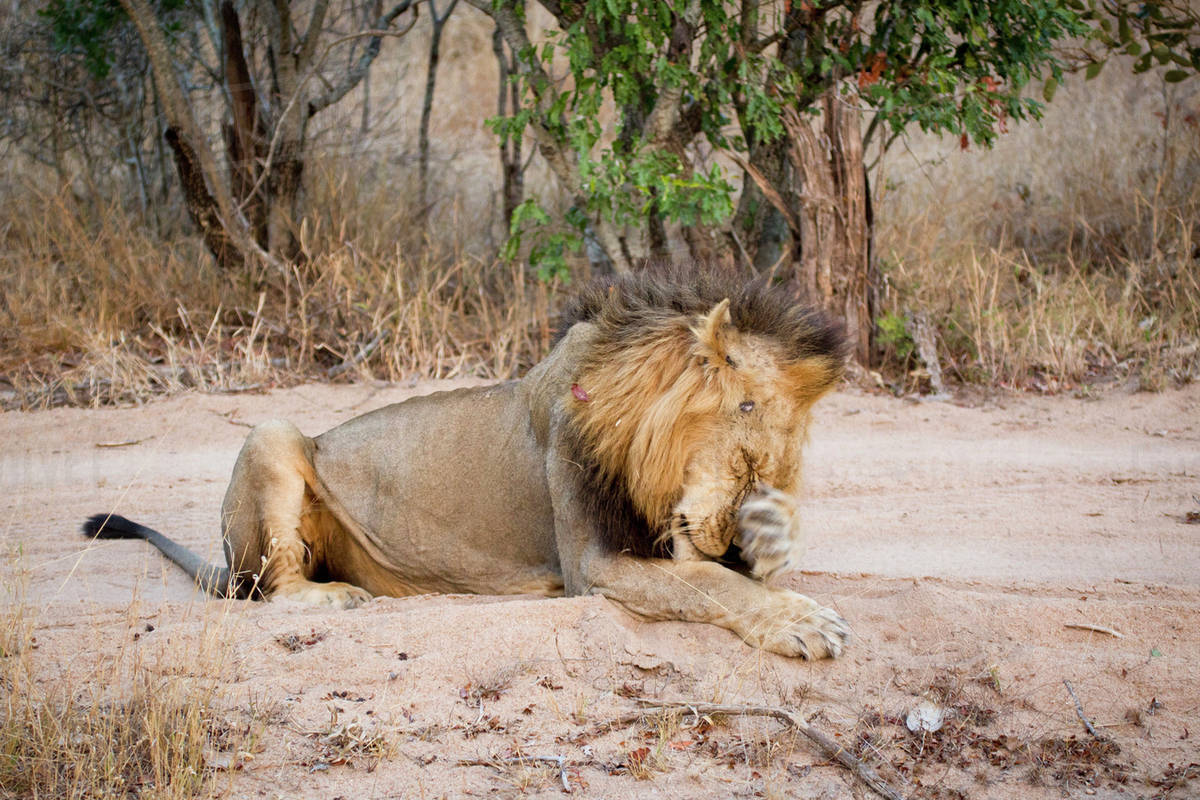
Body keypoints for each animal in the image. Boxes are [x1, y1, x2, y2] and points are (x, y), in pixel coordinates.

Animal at [83, 271, 851, 659]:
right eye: (746, 450)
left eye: (777, 473)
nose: (731, 540)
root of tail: (226, 559)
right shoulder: (592, 565)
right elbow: (708, 585)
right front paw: (803, 621)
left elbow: (717, 574)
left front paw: (774, 540)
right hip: (272, 433)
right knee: (273, 587)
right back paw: (332, 596)